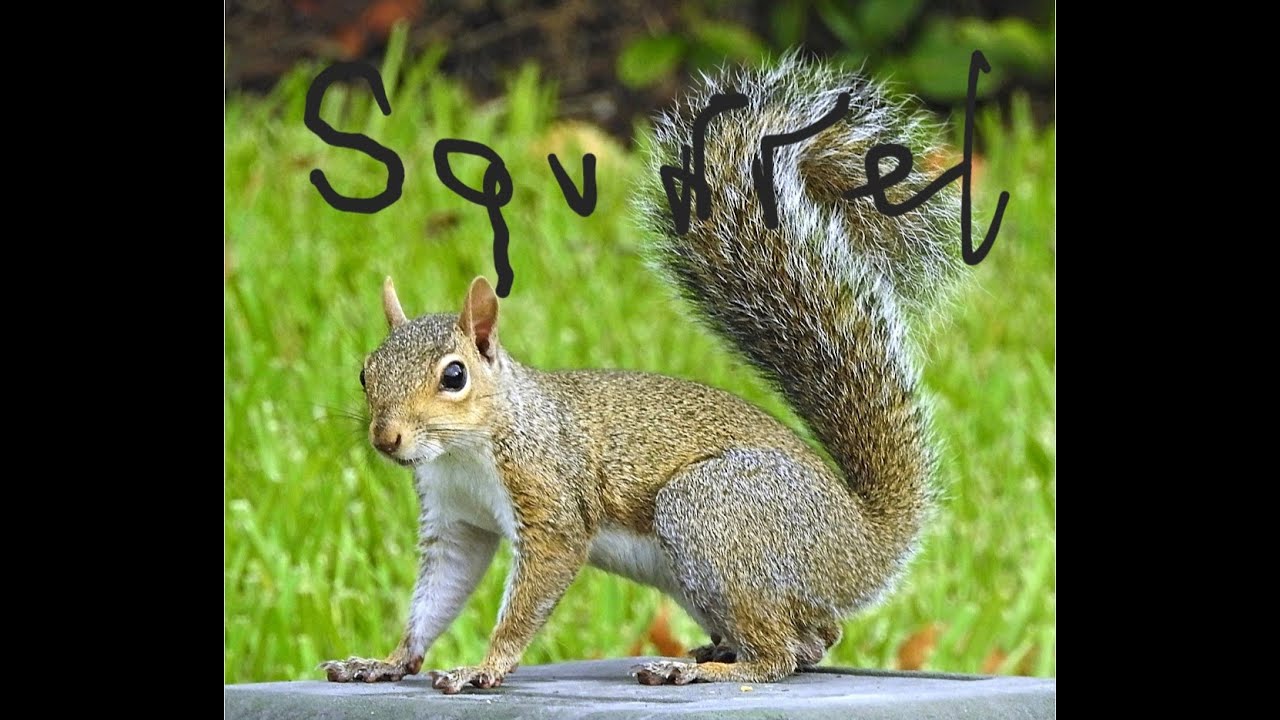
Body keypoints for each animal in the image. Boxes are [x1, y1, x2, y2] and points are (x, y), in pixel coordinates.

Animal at [321, 53, 963, 693]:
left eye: (454, 377)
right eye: (365, 373)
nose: (386, 438)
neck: (466, 448)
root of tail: (862, 546)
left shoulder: (549, 498)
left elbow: (532, 592)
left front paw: (483, 667)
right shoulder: (457, 522)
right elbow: (438, 594)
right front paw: (386, 660)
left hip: (713, 513)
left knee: (781, 655)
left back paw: (705, 669)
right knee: (813, 639)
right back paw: (715, 651)